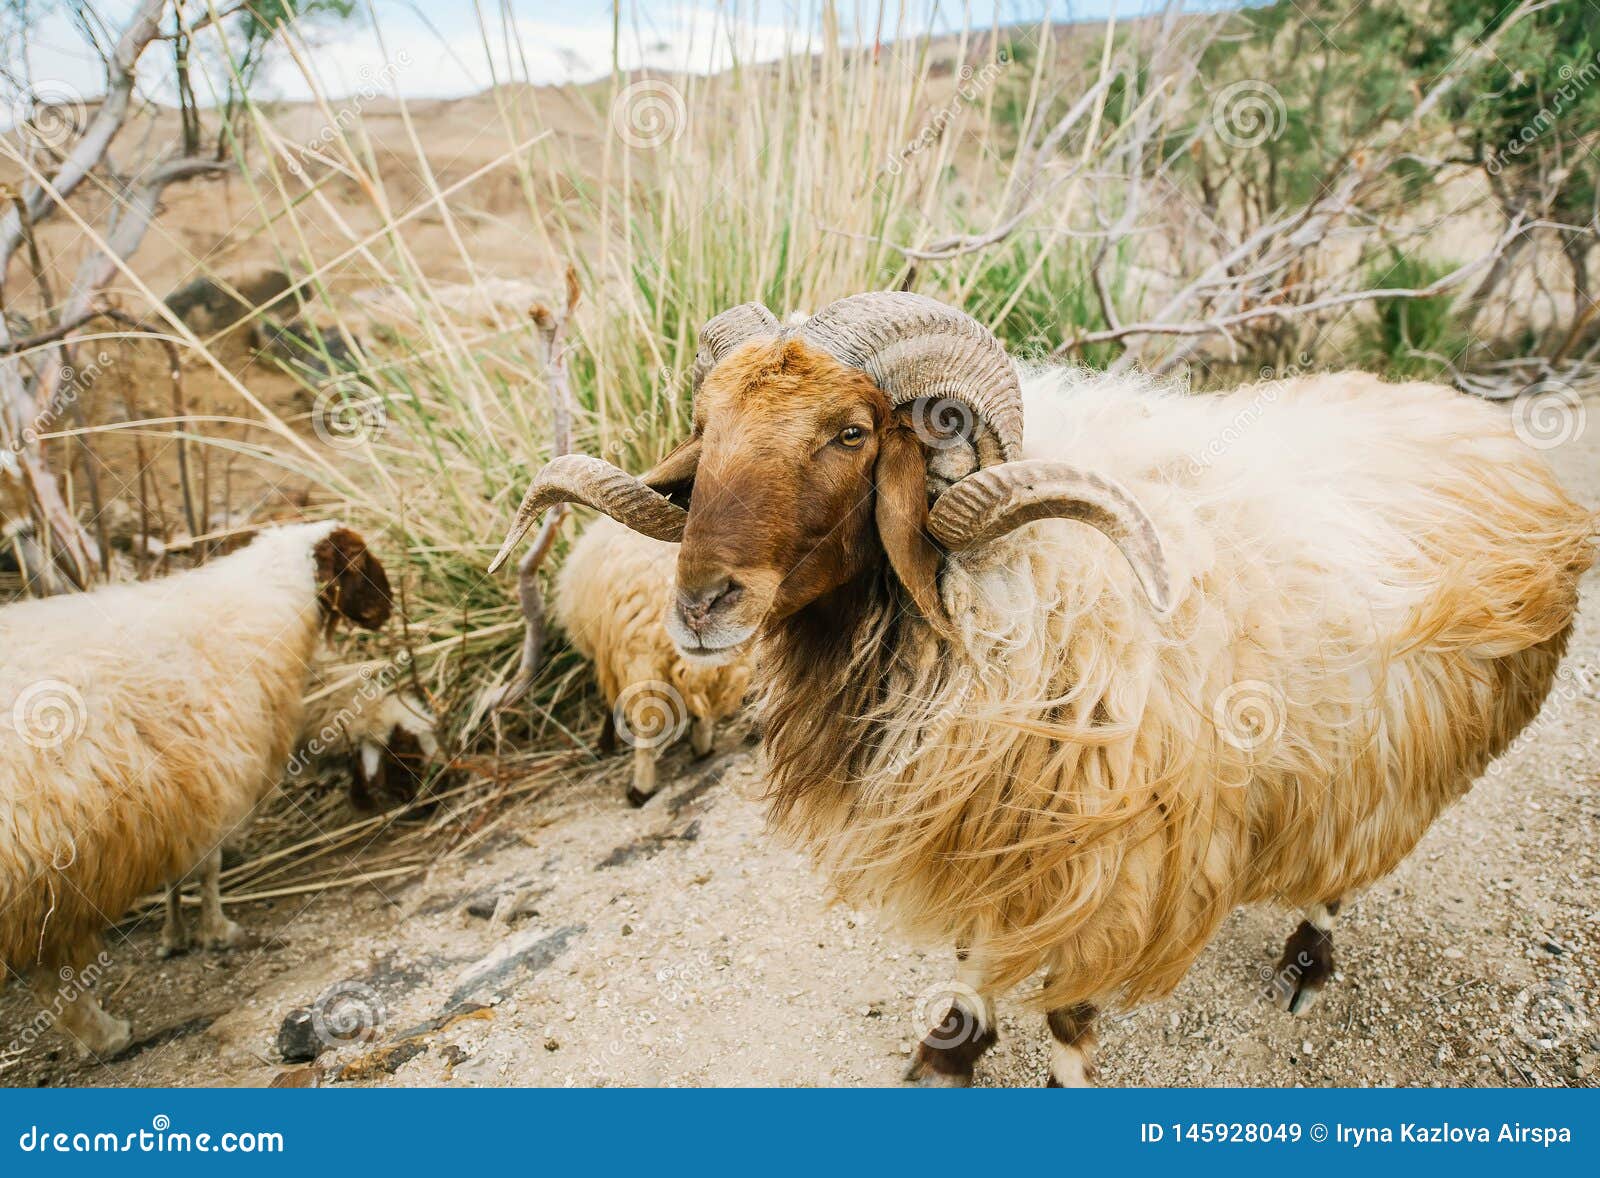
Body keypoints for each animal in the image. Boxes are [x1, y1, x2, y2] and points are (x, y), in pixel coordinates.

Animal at [0, 521, 392, 1057]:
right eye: (360, 565)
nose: (390, 608)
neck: (265, 602)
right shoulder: (216, 776)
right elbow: (206, 869)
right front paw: (215, 931)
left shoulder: (183, 792)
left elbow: (177, 876)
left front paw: (176, 935)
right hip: (45, 869)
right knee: (53, 981)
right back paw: (107, 1036)